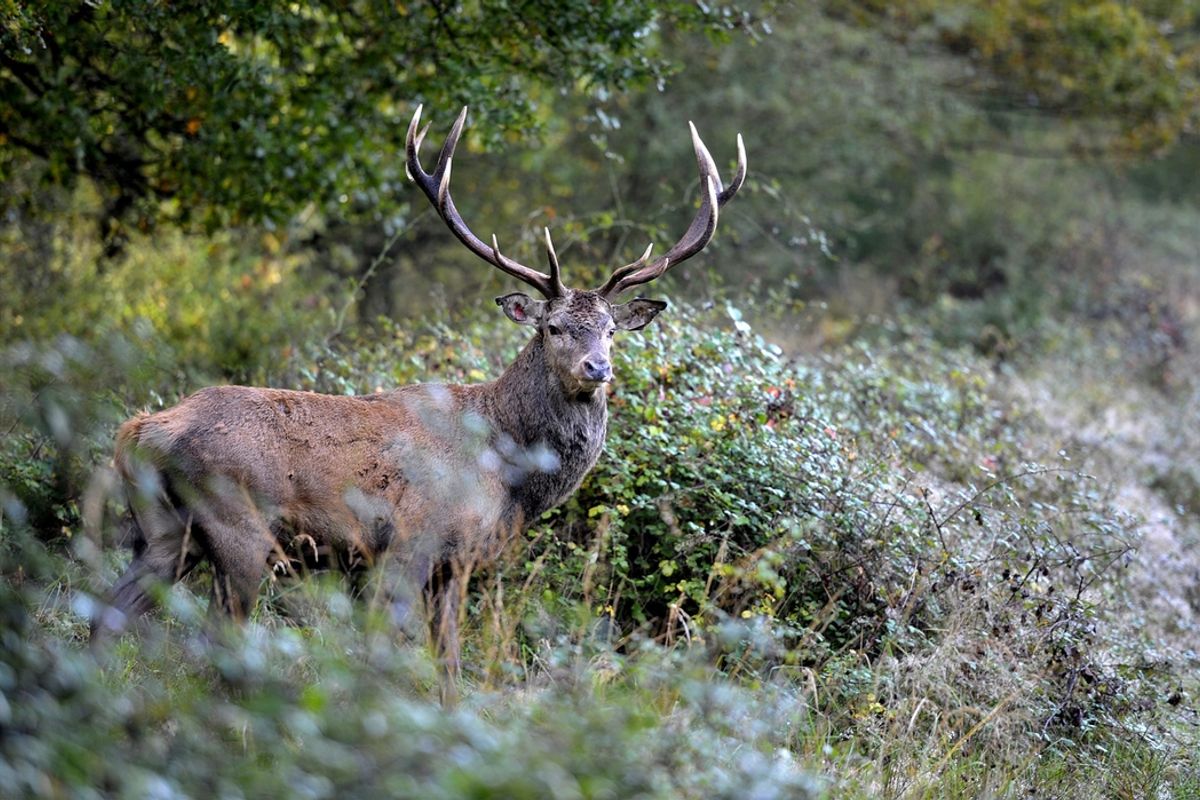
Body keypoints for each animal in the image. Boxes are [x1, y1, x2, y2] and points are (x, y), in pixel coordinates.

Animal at [92, 106, 746, 694]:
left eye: (610, 329)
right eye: (555, 326)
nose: (598, 368)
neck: (505, 470)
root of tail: (142, 431)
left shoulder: (452, 563)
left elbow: (448, 663)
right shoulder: (413, 544)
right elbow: (395, 656)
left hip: (165, 532)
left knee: (108, 614)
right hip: (238, 529)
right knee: (214, 640)